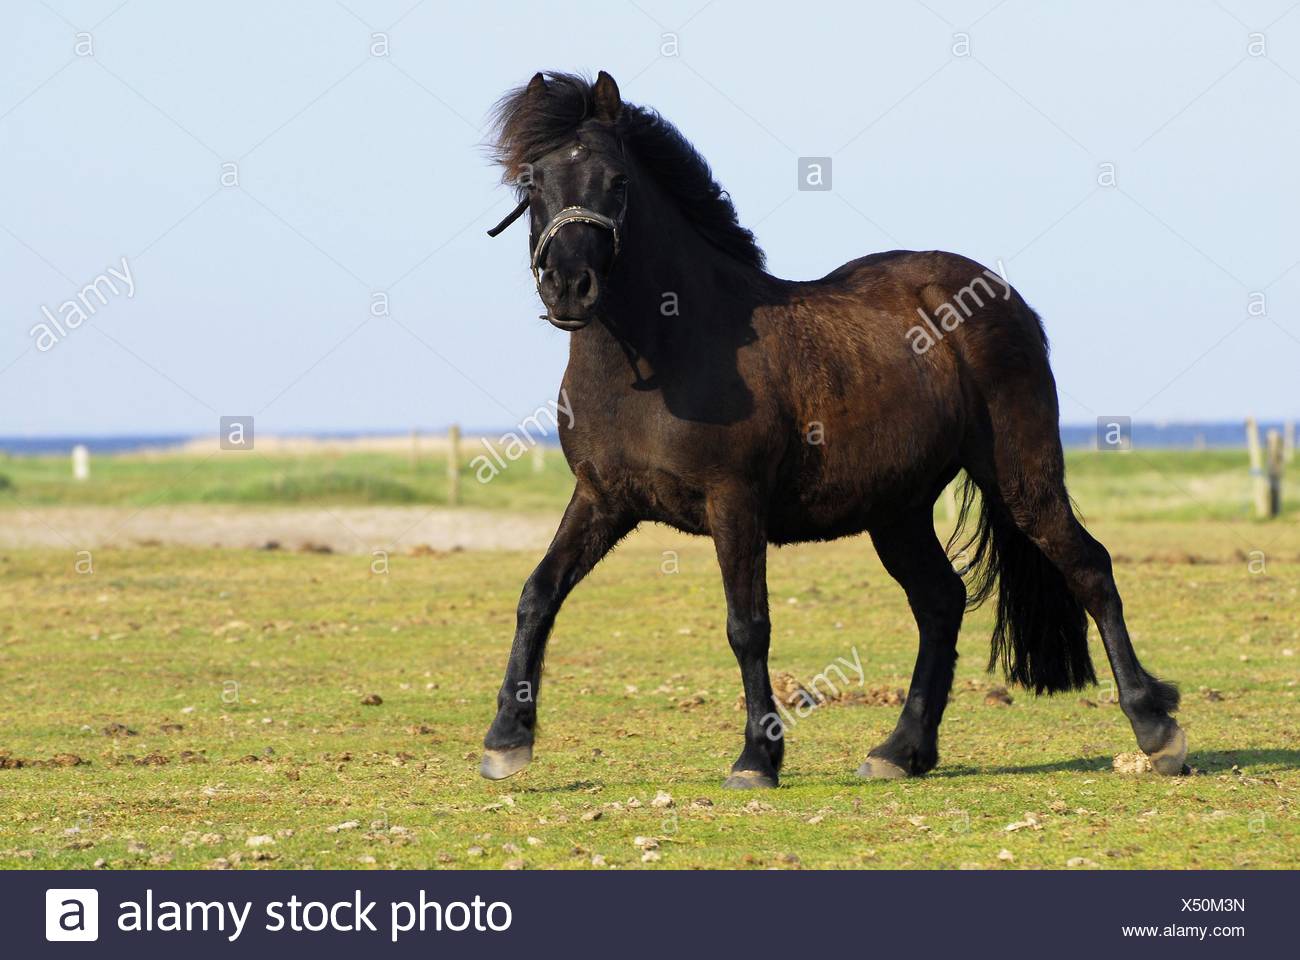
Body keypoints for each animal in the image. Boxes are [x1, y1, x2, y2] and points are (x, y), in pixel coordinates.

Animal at [478, 70, 1186, 788]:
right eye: (533, 181)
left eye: (617, 181)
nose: (569, 285)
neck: (660, 355)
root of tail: (1002, 300)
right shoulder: (603, 498)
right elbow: (537, 594)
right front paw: (507, 738)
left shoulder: (735, 501)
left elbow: (747, 625)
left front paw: (757, 758)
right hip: (898, 510)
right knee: (941, 601)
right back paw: (901, 748)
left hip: (1020, 476)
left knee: (1089, 567)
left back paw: (1155, 728)